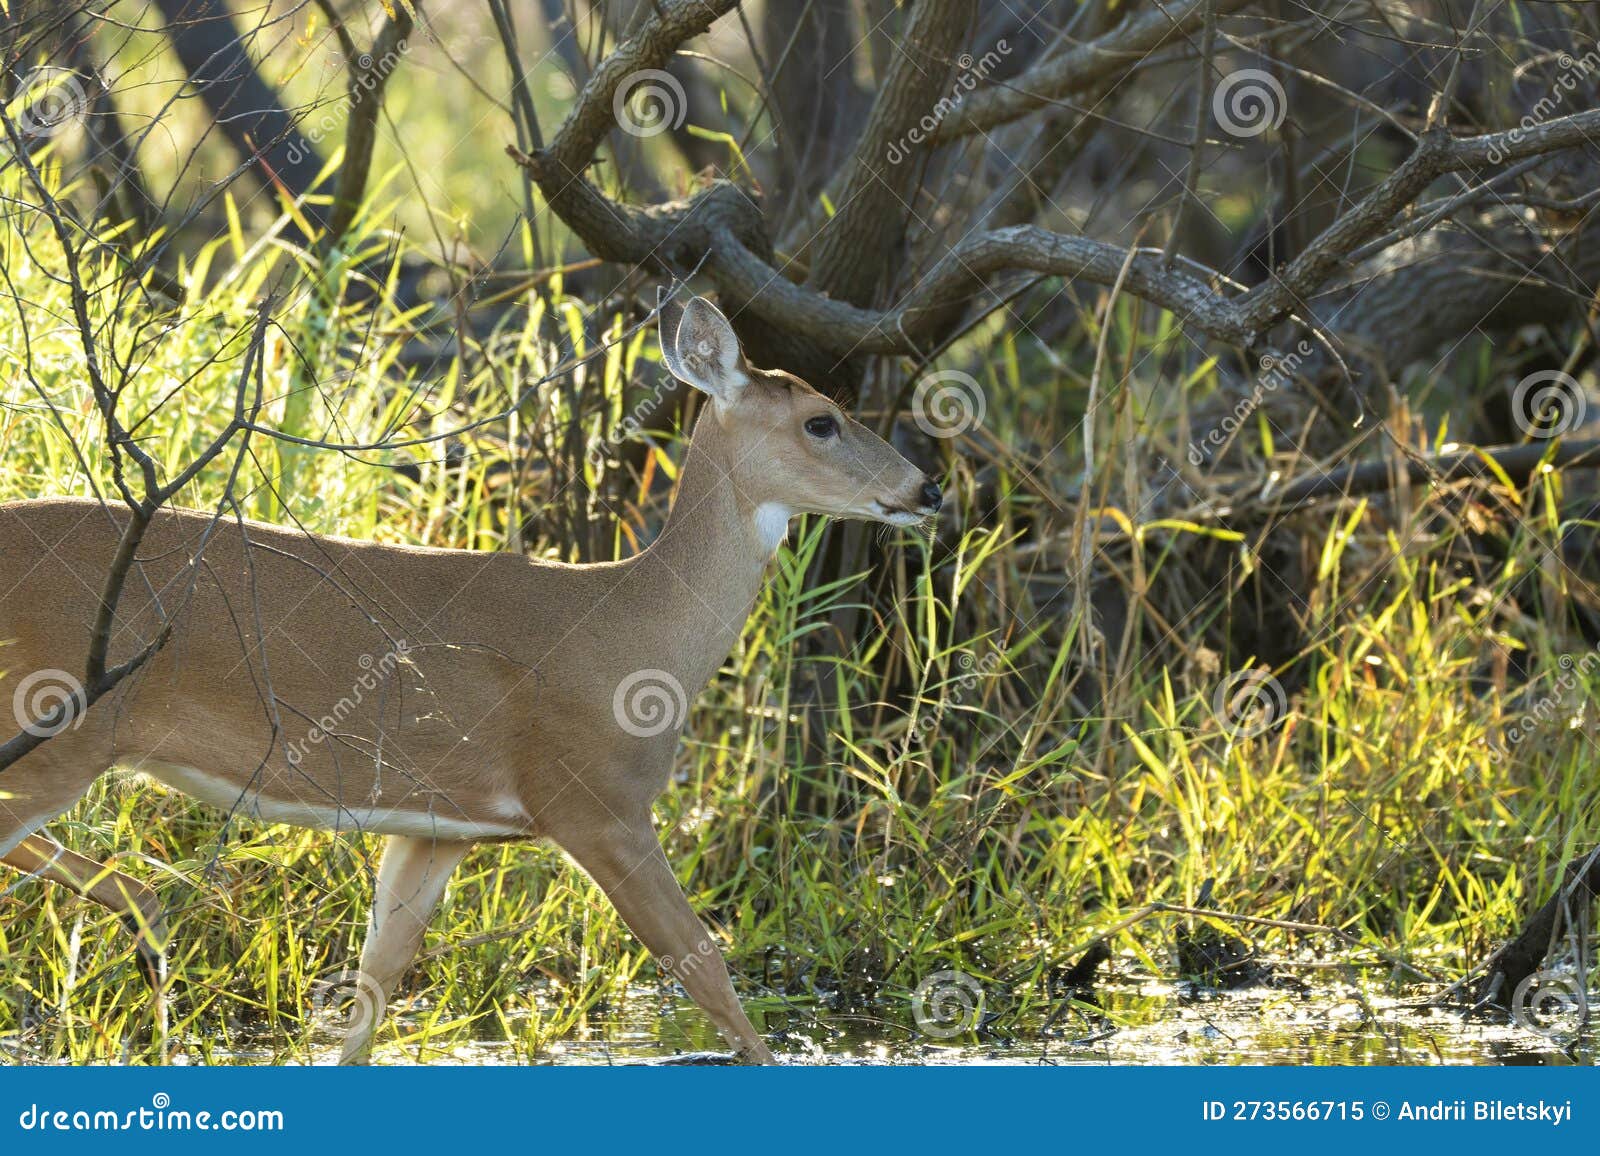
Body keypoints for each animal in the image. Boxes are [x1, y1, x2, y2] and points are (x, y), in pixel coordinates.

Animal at [0, 295, 942, 1064]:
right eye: (822, 420)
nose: (926, 489)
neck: (634, 631)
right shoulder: (595, 800)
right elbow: (714, 983)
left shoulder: (437, 829)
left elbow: (372, 996)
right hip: (56, 723)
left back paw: (150, 927)